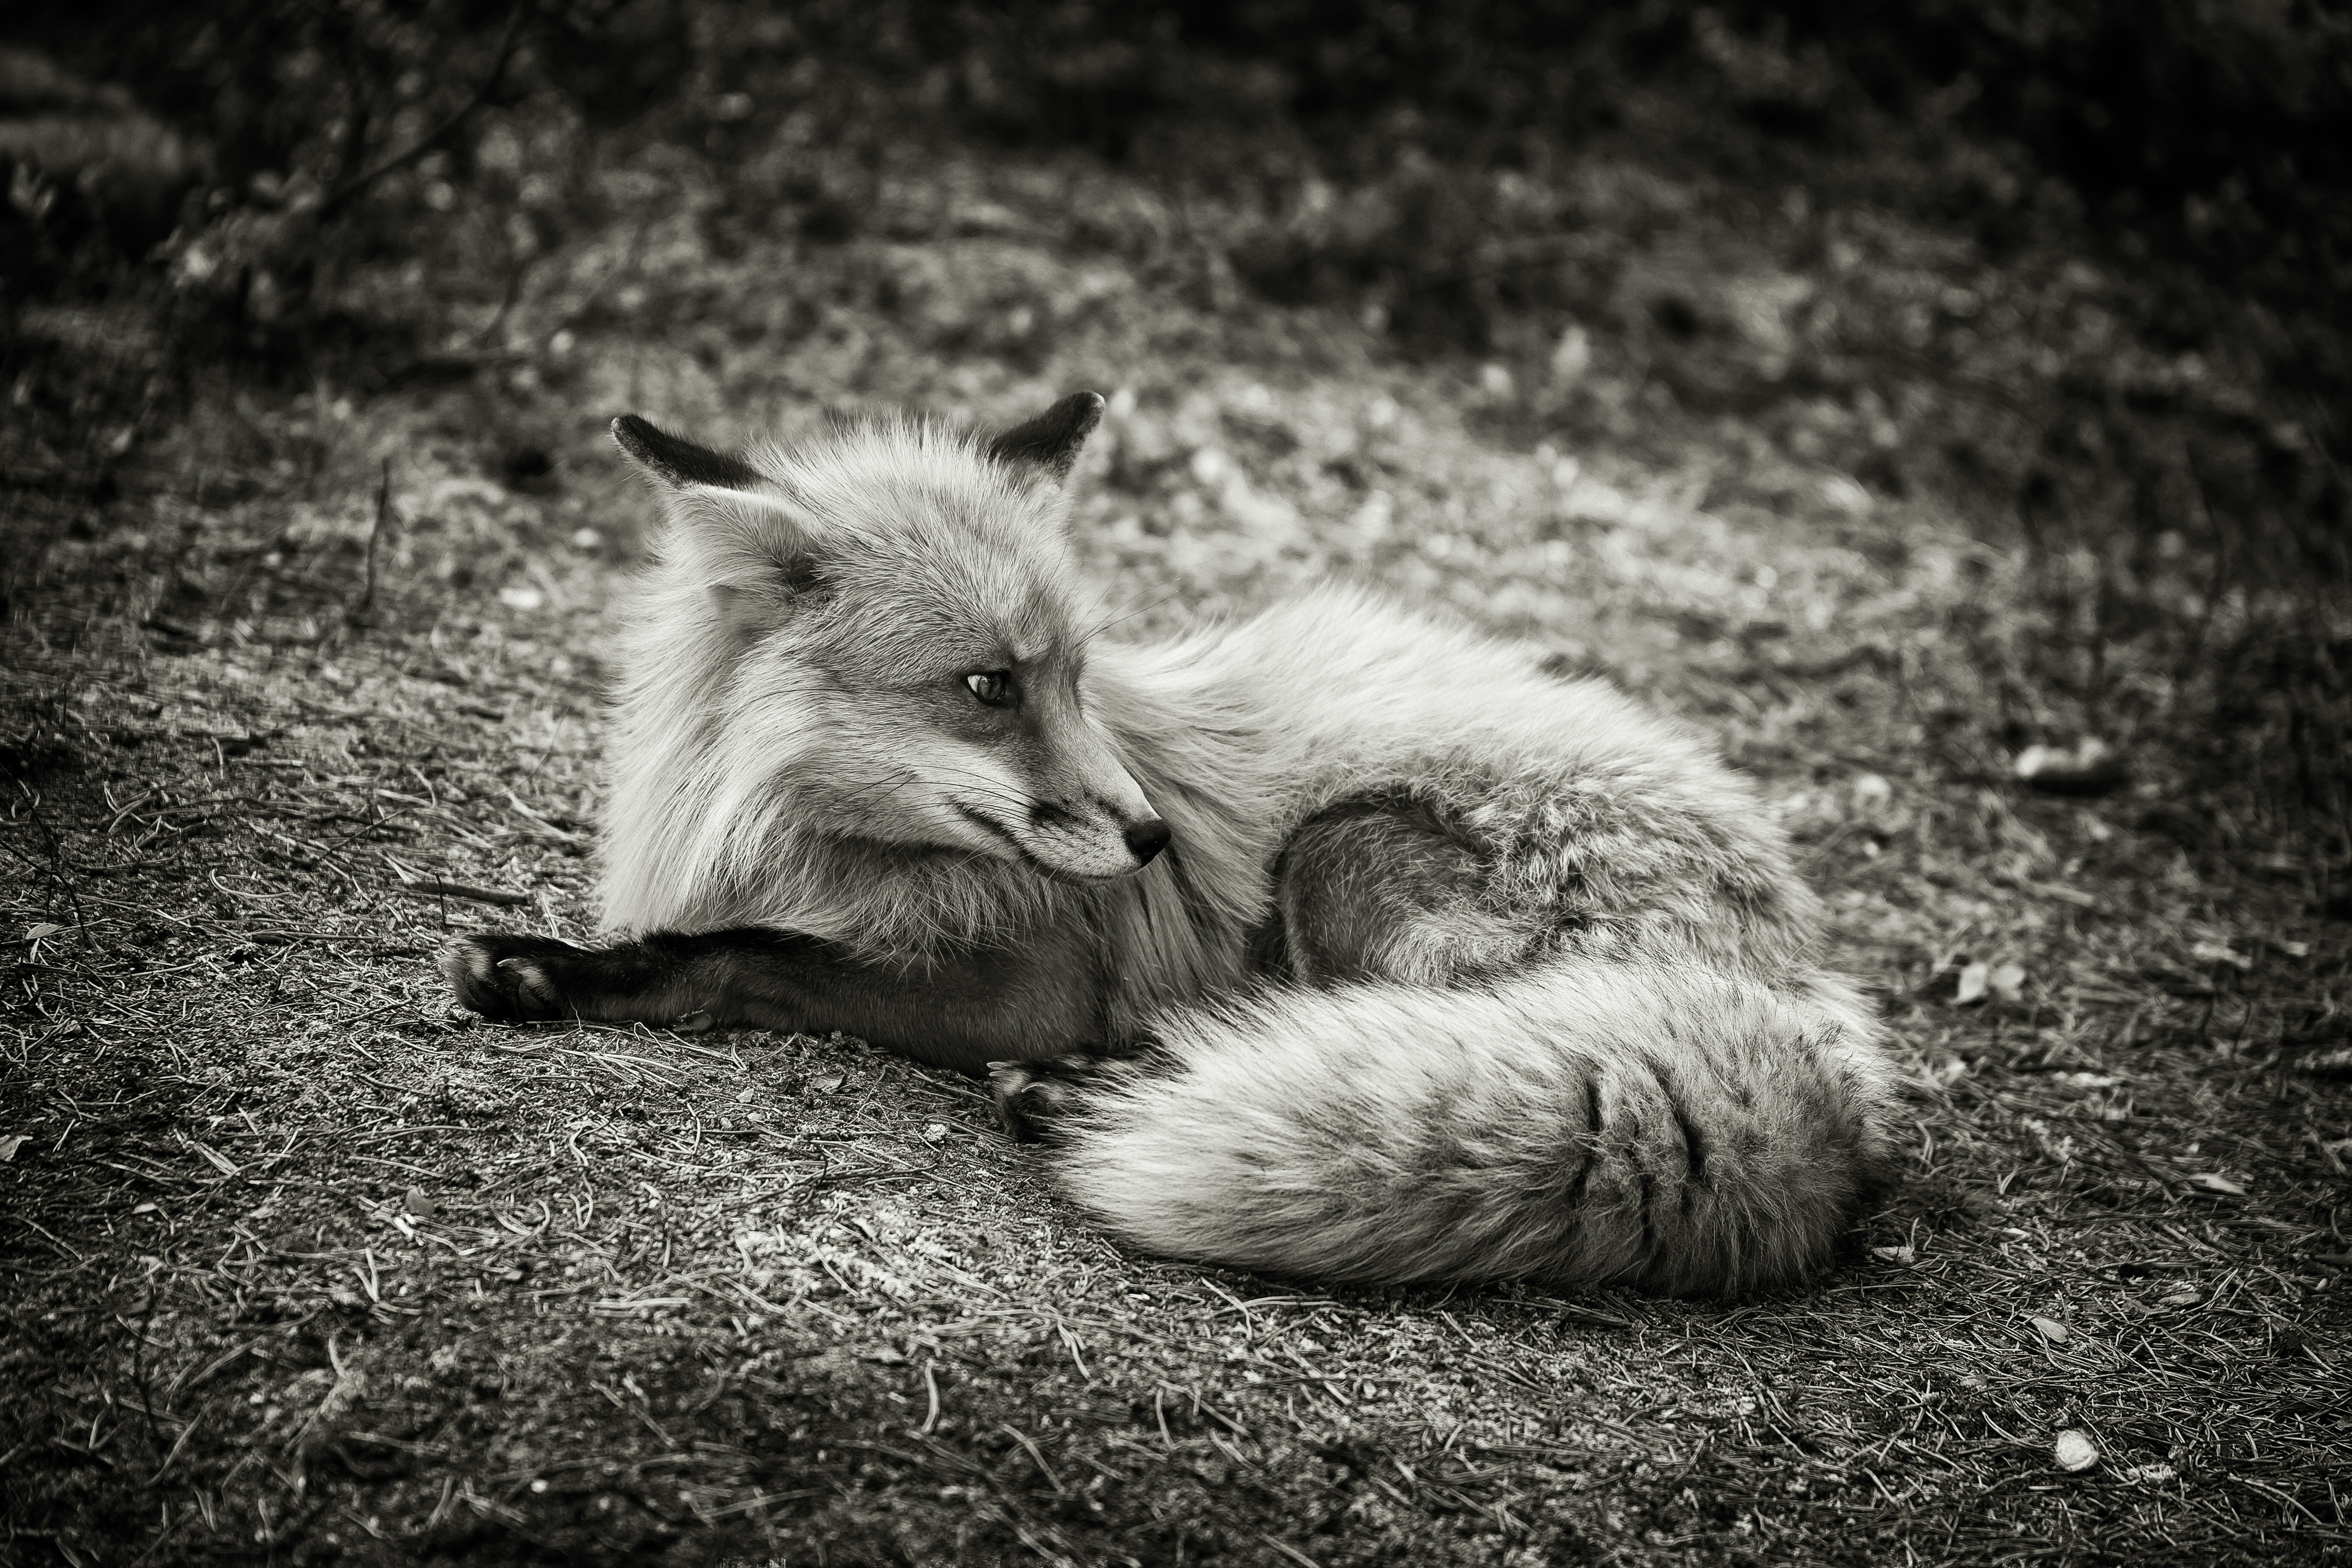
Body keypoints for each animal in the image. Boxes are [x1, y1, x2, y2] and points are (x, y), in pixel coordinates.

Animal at [440, 392, 1903, 1296]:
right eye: (990, 687)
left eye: (1078, 677)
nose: (1152, 838)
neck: (802, 837)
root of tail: (1810, 1002)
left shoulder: (1028, 977)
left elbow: (751, 958)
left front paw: (577, 973)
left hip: (1344, 852)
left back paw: (1094, 1095)